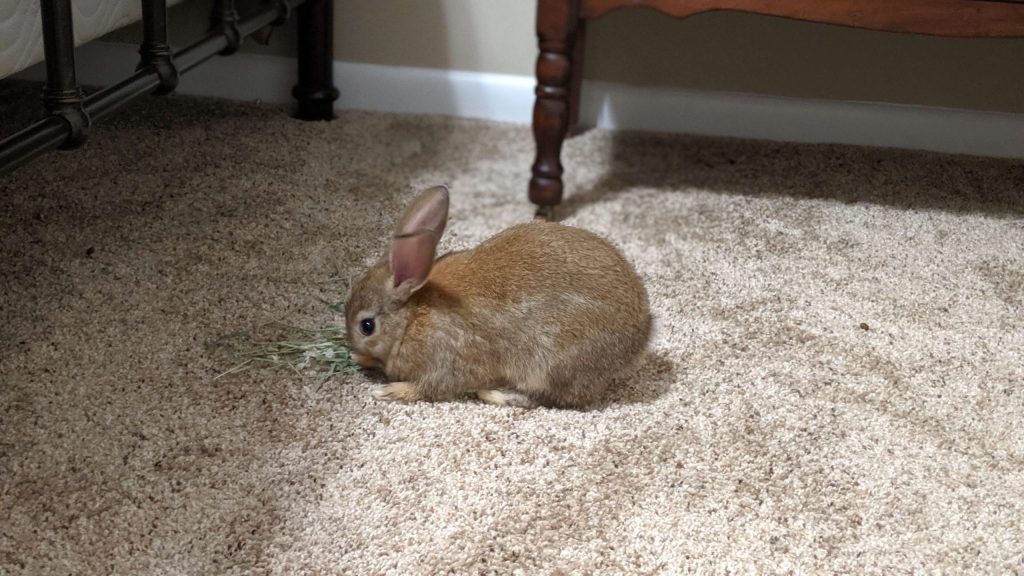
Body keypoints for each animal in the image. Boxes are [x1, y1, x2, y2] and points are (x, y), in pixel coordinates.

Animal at [344, 185, 651, 408]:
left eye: (367, 326)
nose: (351, 344)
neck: (410, 318)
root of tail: (641, 338)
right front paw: (359, 358)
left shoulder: (447, 361)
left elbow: (433, 388)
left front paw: (390, 391)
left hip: (551, 364)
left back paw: (494, 394)